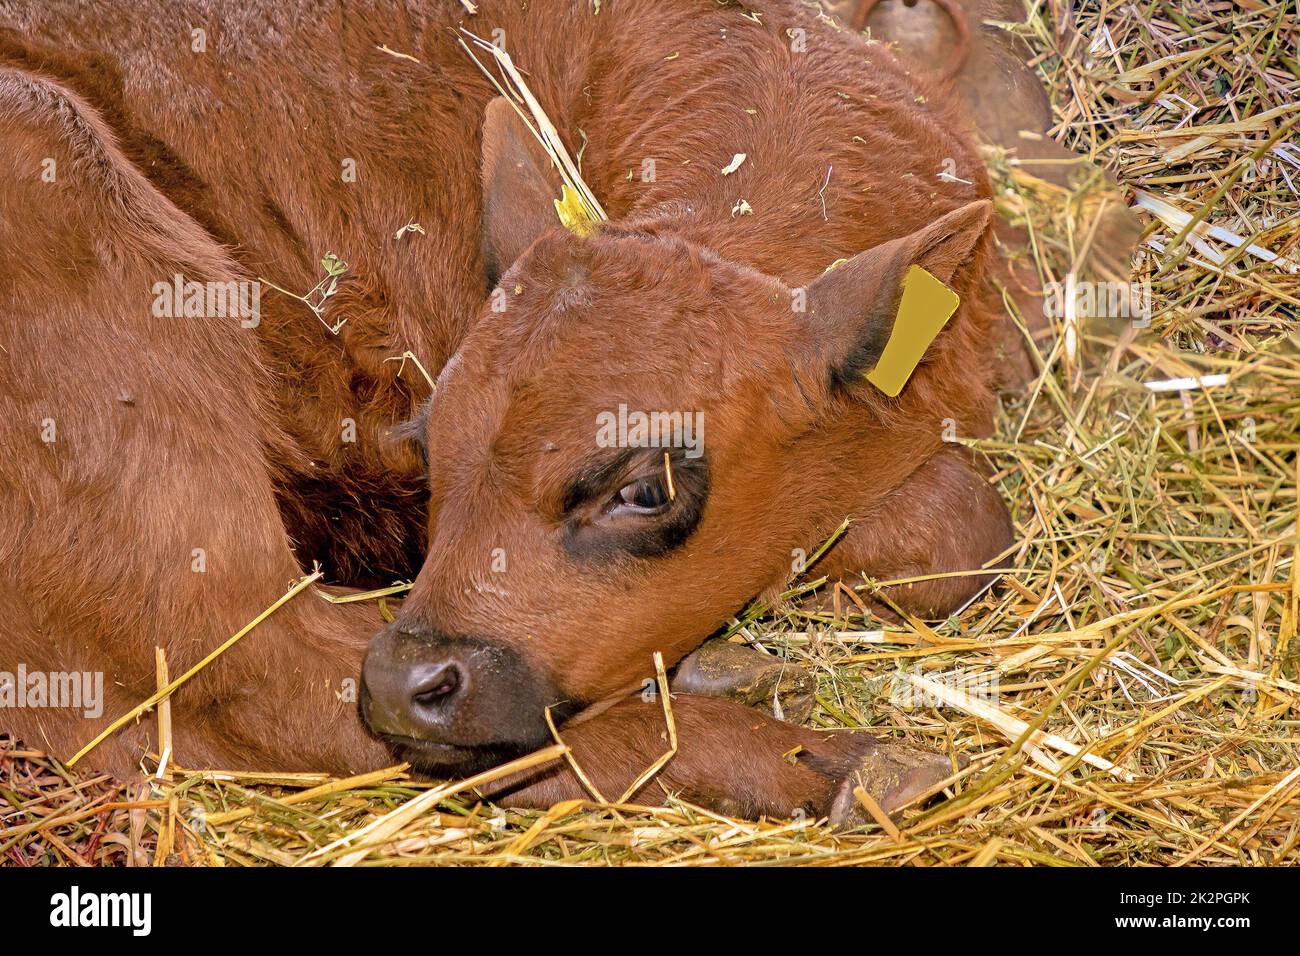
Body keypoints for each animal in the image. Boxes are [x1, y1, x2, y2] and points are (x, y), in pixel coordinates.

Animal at [0, 0, 1014, 825]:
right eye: (428, 445)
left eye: (647, 489)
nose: (404, 687)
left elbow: (966, 526)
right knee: (264, 674)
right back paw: (847, 762)